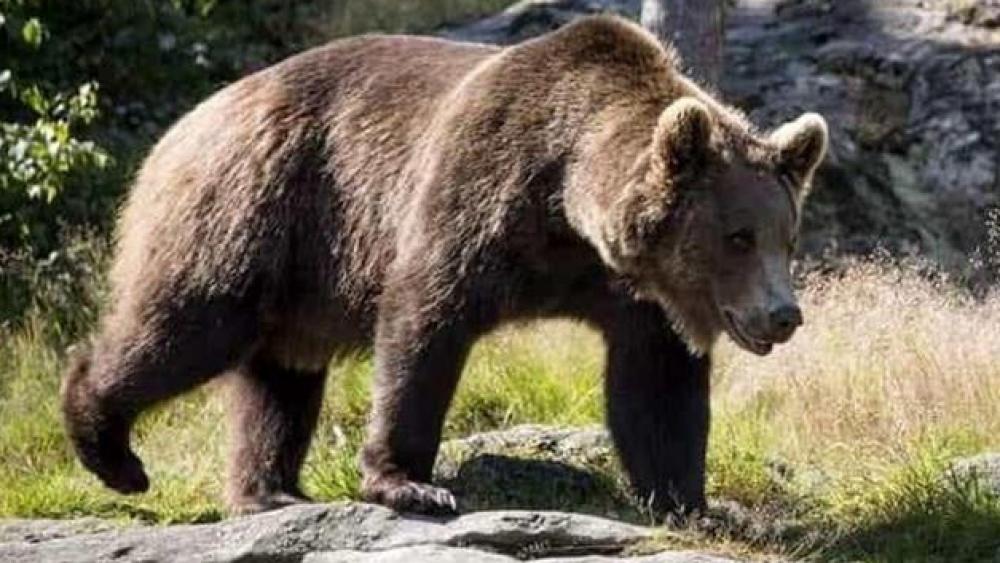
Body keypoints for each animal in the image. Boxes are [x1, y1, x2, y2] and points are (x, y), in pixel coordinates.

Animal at [61, 15, 827, 516]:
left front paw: (694, 501)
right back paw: (111, 449)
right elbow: (424, 325)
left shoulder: (634, 292)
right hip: (252, 209)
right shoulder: (476, 194)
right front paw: (411, 482)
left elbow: (657, 387)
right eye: (737, 236)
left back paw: (269, 489)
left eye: (787, 236)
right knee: (189, 325)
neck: (567, 204)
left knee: (281, 374)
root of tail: (189, 120)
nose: (783, 315)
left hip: (298, 273)